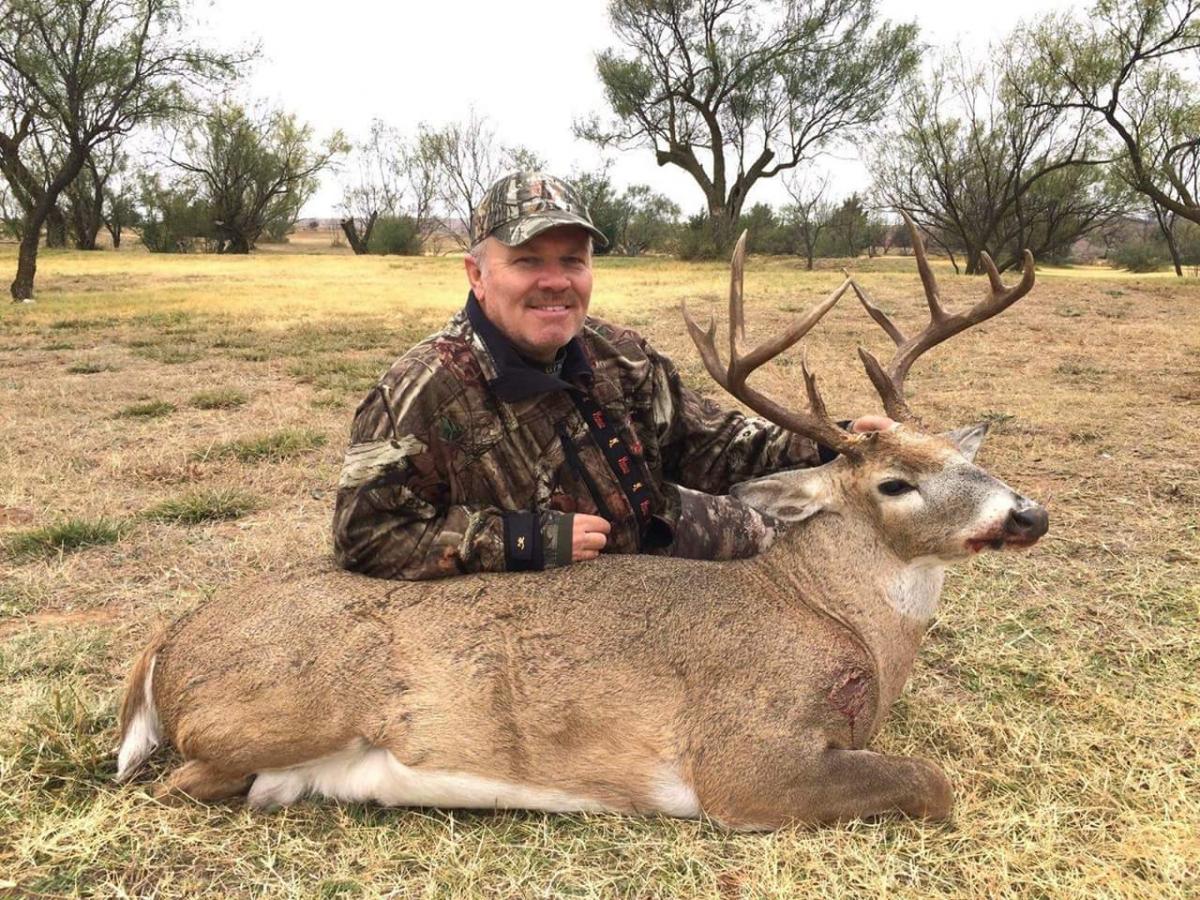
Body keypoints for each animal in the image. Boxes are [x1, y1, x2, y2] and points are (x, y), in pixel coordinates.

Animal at [114, 216, 1049, 829]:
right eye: (895, 482)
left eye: (963, 453)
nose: (1027, 513)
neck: (838, 622)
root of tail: (166, 640)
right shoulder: (743, 760)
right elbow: (931, 782)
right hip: (279, 706)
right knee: (170, 782)